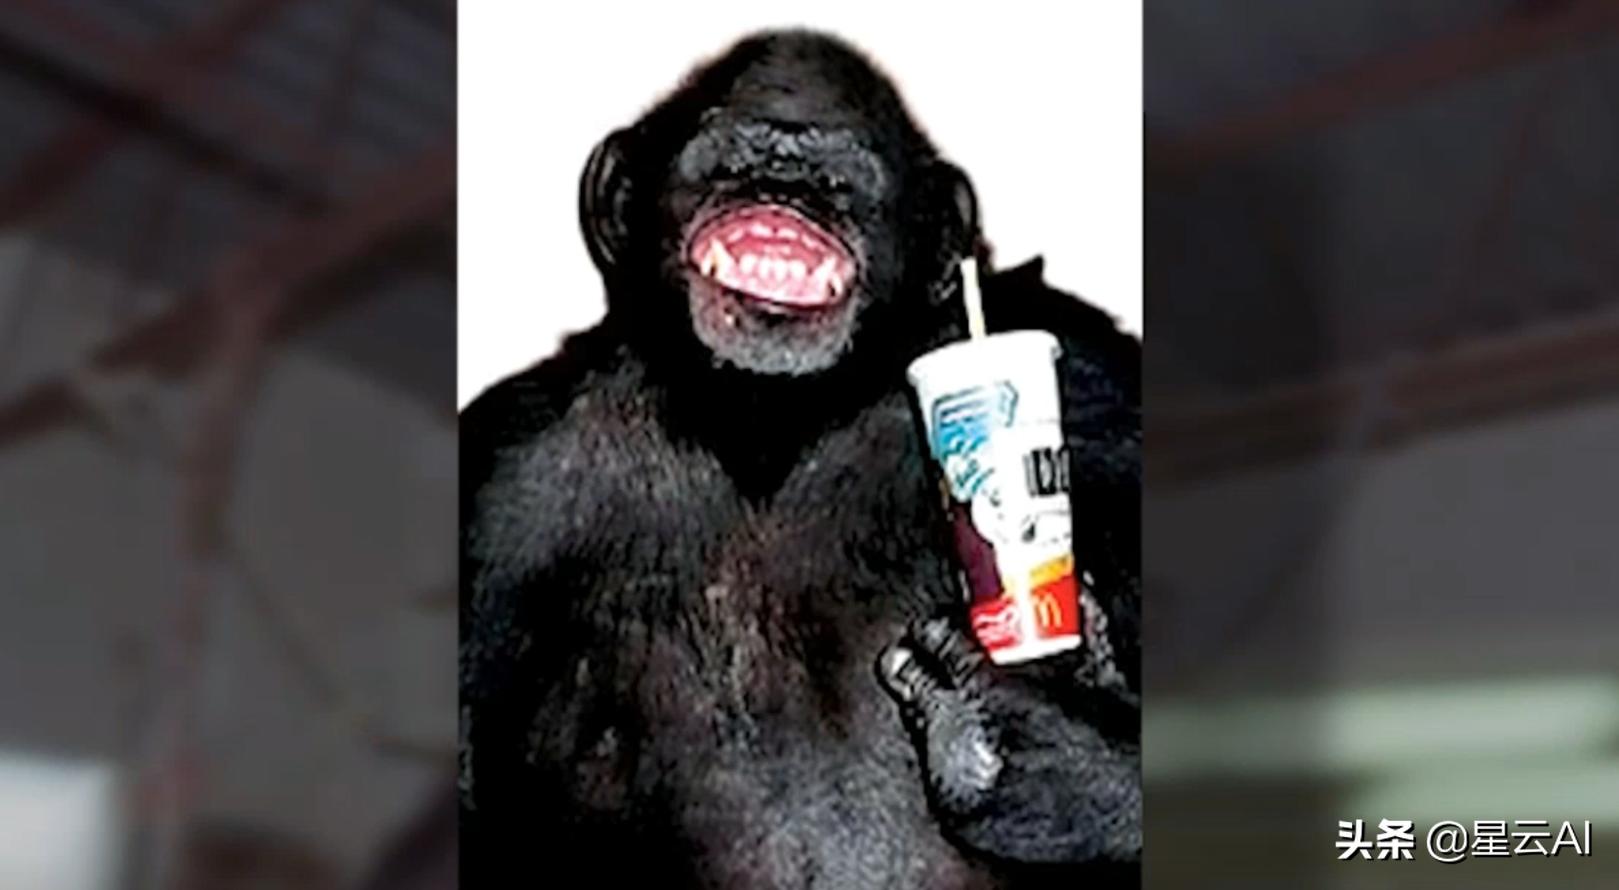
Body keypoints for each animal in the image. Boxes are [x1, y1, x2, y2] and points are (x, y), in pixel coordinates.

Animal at [460, 30, 1140, 888]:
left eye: (840, 182)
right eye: (728, 160)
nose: (785, 178)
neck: (766, 434)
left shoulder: (1100, 409)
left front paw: (1047, 745)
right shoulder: (495, 485)